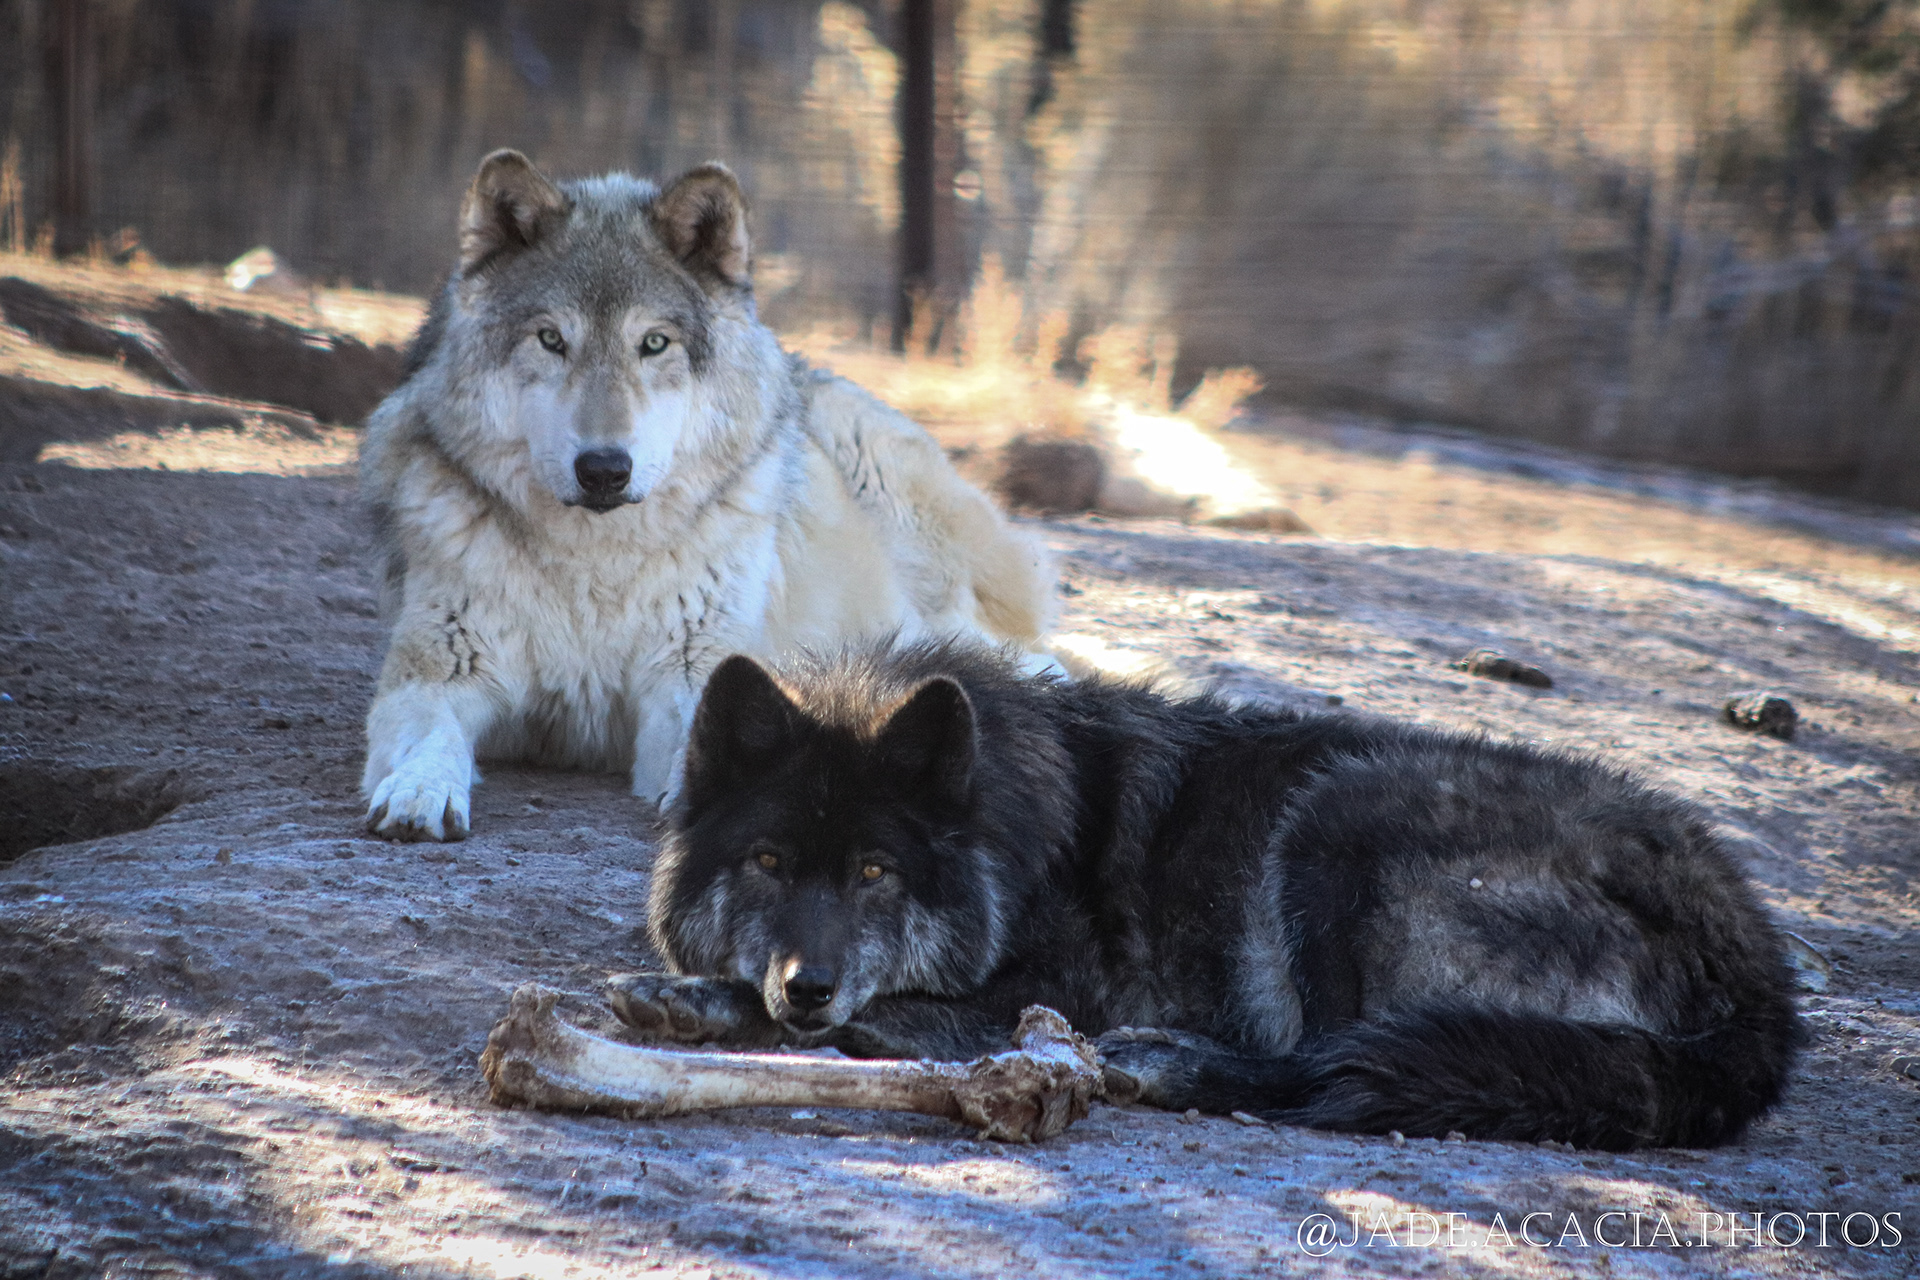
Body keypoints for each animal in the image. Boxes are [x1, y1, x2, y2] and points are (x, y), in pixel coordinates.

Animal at [358, 151, 1055, 841]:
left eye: (654, 343)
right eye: (552, 339)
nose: (604, 469)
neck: (596, 568)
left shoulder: (694, 668)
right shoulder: (440, 672)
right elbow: (432, 739)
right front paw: (419, 792)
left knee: (1011, 652)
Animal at [617, 642, 1801, 1149]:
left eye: (874, 872)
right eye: (770, 862)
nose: (808, 984)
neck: (1009, 840)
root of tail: (1760, 977)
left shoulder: (1054, 993)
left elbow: (888, 1020)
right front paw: (686, 997)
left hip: (1340, 812)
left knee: (1326, 1064)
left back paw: (1170, 1063)